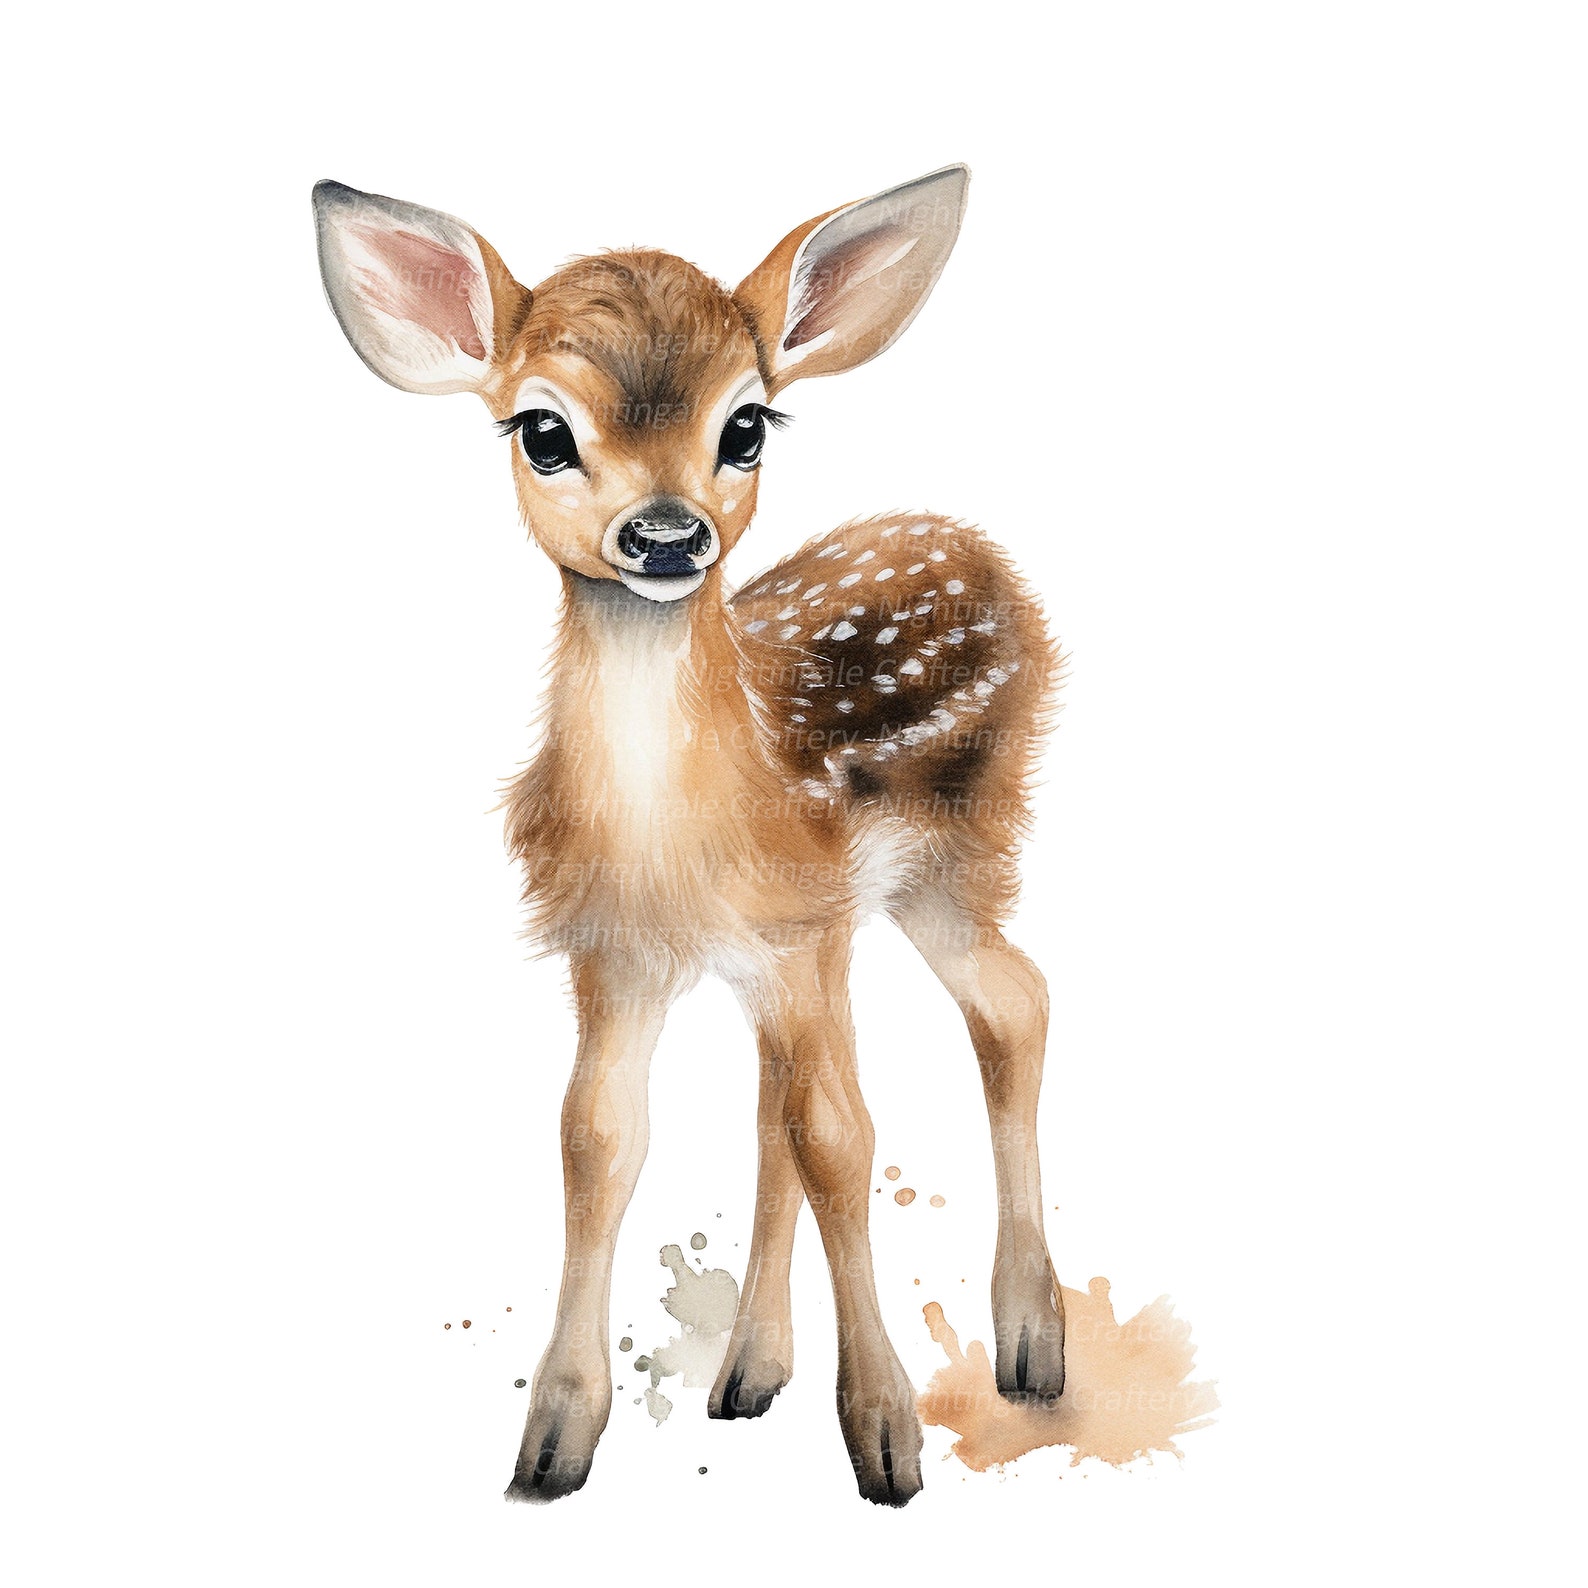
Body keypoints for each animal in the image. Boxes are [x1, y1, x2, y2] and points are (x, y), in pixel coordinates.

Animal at [311, 166, 1066, 1507]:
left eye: (747, 426)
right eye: (542, 430)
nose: (665, 536)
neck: (682, 839)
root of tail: (991, 558)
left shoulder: (796, 927)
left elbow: (841, 1139)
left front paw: (887, 1441)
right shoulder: (617, 950)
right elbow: (598, 1139)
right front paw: (552, 1444)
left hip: (953, 850)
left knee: (1011, 1002)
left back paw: (1031, 1344)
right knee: (789, 1097)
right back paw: (750, 1371)